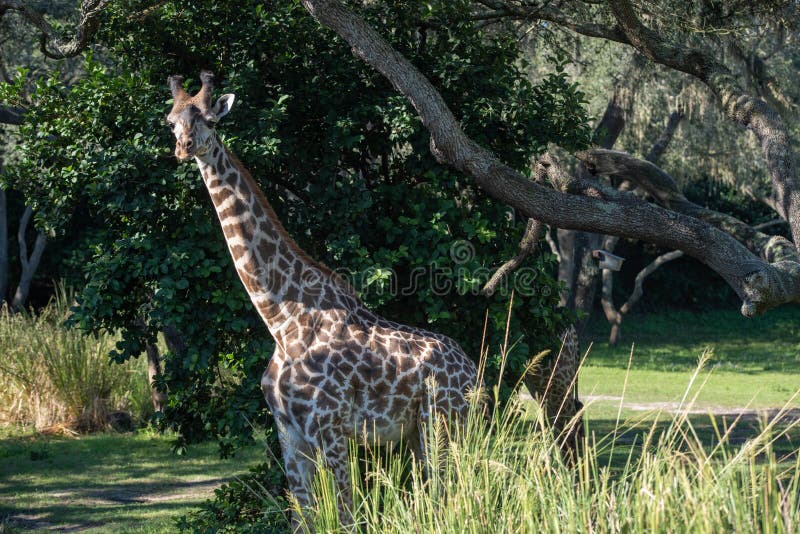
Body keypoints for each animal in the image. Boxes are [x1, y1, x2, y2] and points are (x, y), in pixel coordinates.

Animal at [166, 71, 479, 526]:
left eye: (210, 119)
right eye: (171, 122)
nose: (184, 147)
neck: (281, 320)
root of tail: (475, 374)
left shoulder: (331, 429)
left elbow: (347, 516)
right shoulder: (289, 434)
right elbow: (303, 517)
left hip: (443, 422)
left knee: (453, 491)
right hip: (423, 432)